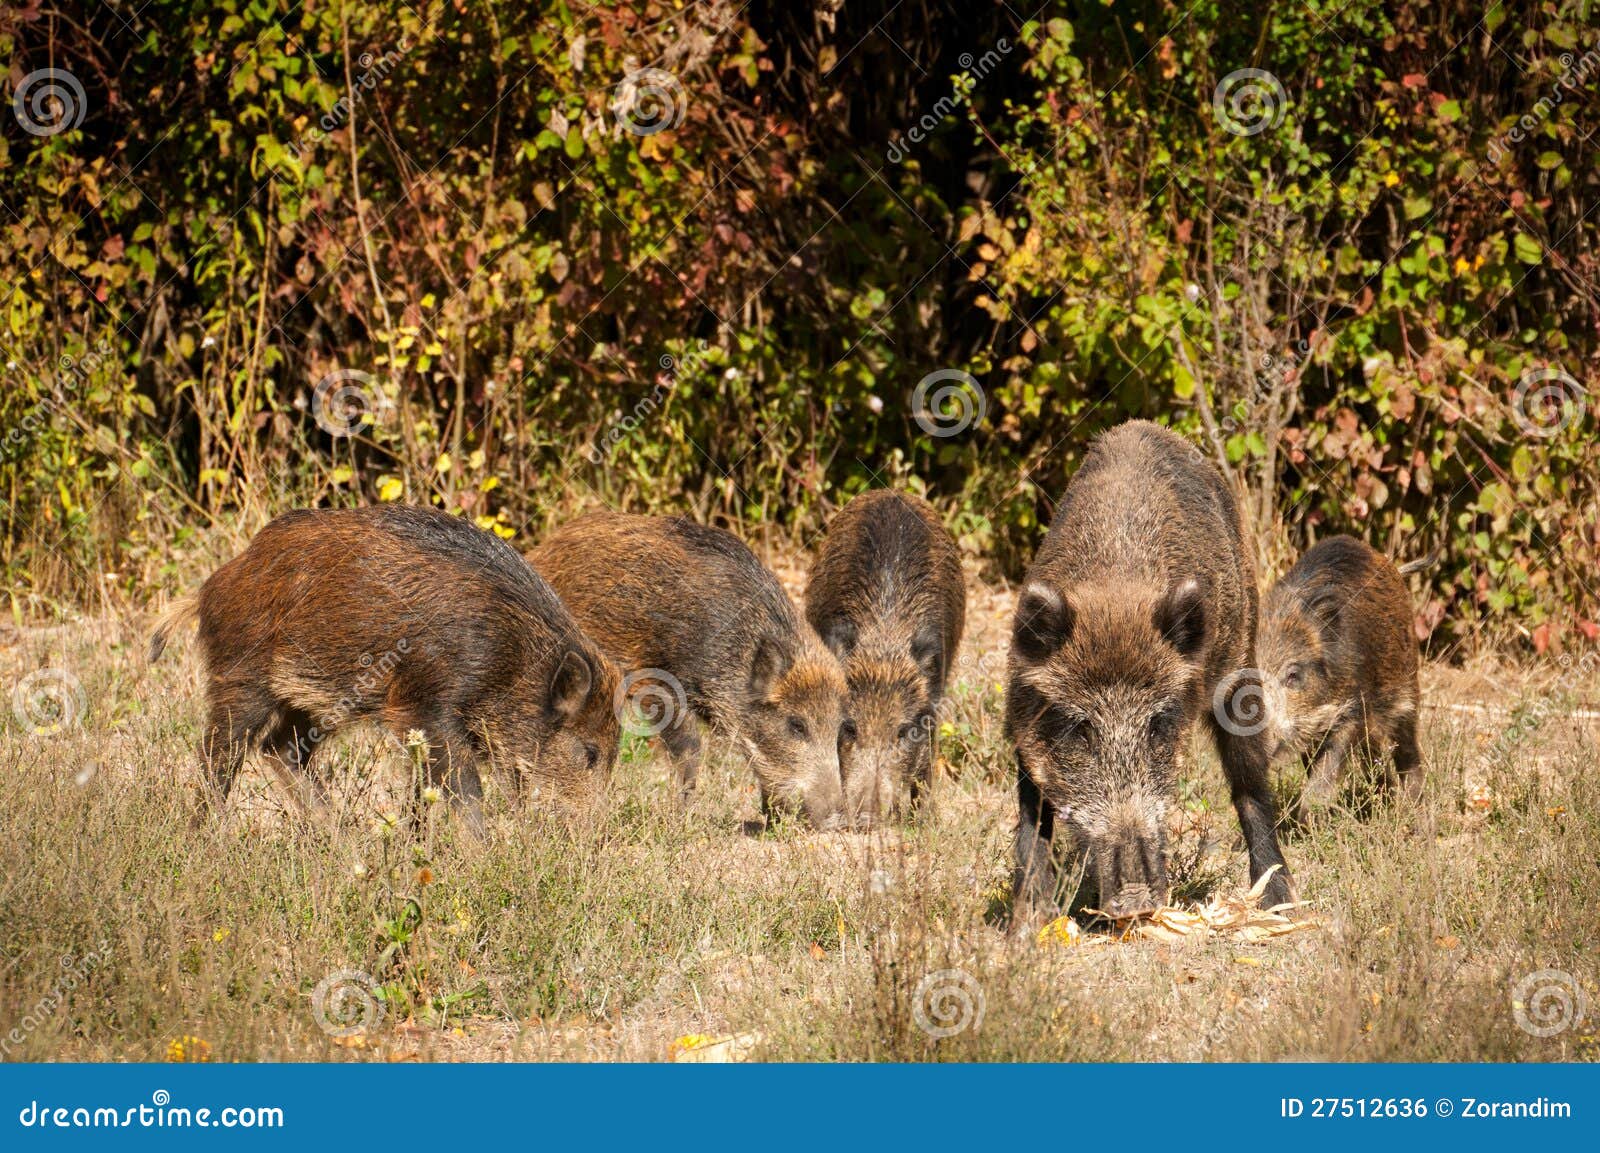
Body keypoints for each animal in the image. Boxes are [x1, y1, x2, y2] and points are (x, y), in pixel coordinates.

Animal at [148, 504, 621, 832]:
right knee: (220, 756)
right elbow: (465, 789)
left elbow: (423, 793)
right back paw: (204, 837)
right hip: (241, 679)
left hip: (310, 702)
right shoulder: (426, 706)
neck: (512, 656)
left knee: (280, 750)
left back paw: (341, 841)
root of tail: (211, 587)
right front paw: (483, 859)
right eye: (589, 752)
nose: (593, 835)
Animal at [529, 511, 849, 829]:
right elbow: (690, 747)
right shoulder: (657, 681)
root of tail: (543, 548)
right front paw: (681, 816)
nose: (836, 821)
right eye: (796, 725)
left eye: (838, 726)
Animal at [1007, 420, 1292, 920]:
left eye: (1158, 725)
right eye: (1079, 730)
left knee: (1249, 782)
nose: (1136, 900)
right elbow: (1032, 821)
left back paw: (1280, 903)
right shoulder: (1024, 724)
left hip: (1242, 657)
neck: (1114, 594)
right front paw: (1028, 923)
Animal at [1257, 535, 1430, 817]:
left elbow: (1324, 776)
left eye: (1293, 674)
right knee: (1375, 756)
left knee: (1408, 755)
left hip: (1407, 691)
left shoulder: (1352, 711)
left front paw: (1311, 817)